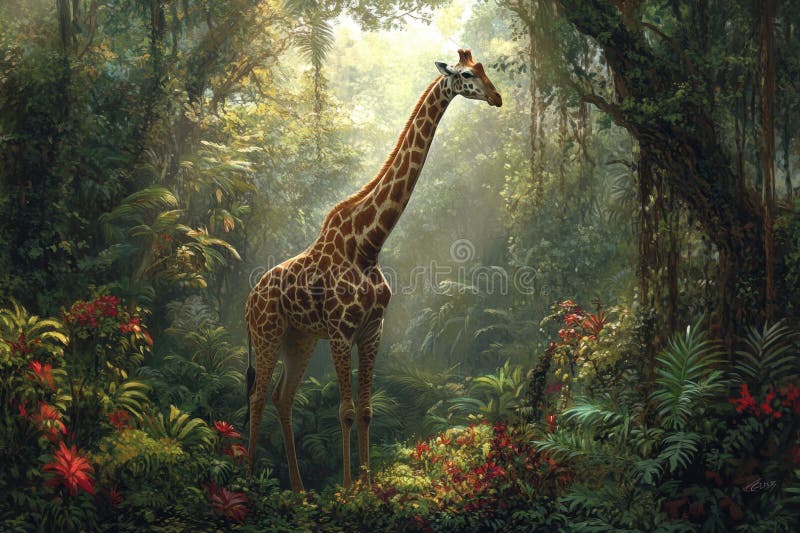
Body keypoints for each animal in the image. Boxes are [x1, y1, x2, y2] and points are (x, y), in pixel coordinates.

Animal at [245, 49, 502, 492]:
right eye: (467, 74)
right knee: (257, 396)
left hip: (299, 339)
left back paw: (299, 491)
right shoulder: (340, 330)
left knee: (282, 396)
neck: (368, 245)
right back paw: (243, 484)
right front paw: (349, 490)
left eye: (485, 69)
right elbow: (345, 411)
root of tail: (247, 302)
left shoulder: (371, 330)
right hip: (268, 334)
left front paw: (367, 487)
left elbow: (365, 411)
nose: (497, 97)